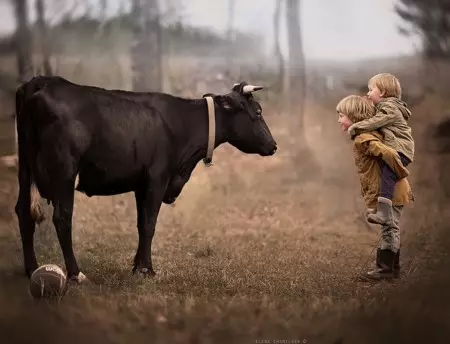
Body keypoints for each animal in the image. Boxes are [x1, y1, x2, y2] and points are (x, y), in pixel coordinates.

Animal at [14, 76, 278, 282]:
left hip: (25, 167)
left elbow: (141, 224)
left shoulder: (141, 184)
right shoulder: (157, 178)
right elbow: (150, 224)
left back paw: (31, 269)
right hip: (64, 171)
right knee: (62, 217)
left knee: (24, 212)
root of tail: (40, 81)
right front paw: (147, 270)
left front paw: (137, 266)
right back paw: (75, 274)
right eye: (257, 113)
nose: (274, 145)